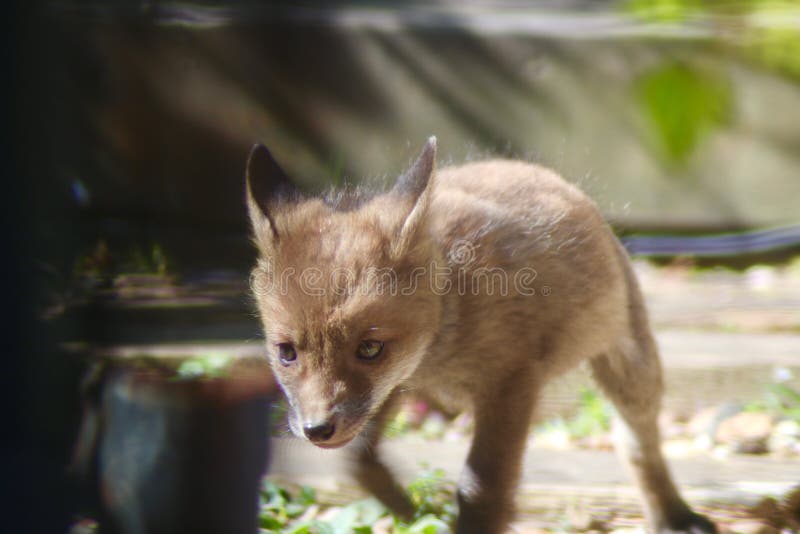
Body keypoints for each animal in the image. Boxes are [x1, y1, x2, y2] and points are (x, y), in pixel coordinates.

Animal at [245, 137, 717, 534]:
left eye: (370, 348)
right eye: (286, 353)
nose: (317, 429)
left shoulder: (511, 381)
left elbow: (479, 487)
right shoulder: (393, 388)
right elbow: (358, 459)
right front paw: (414, 514)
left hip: (632, 370)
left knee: (636, 443)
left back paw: (672, 515)